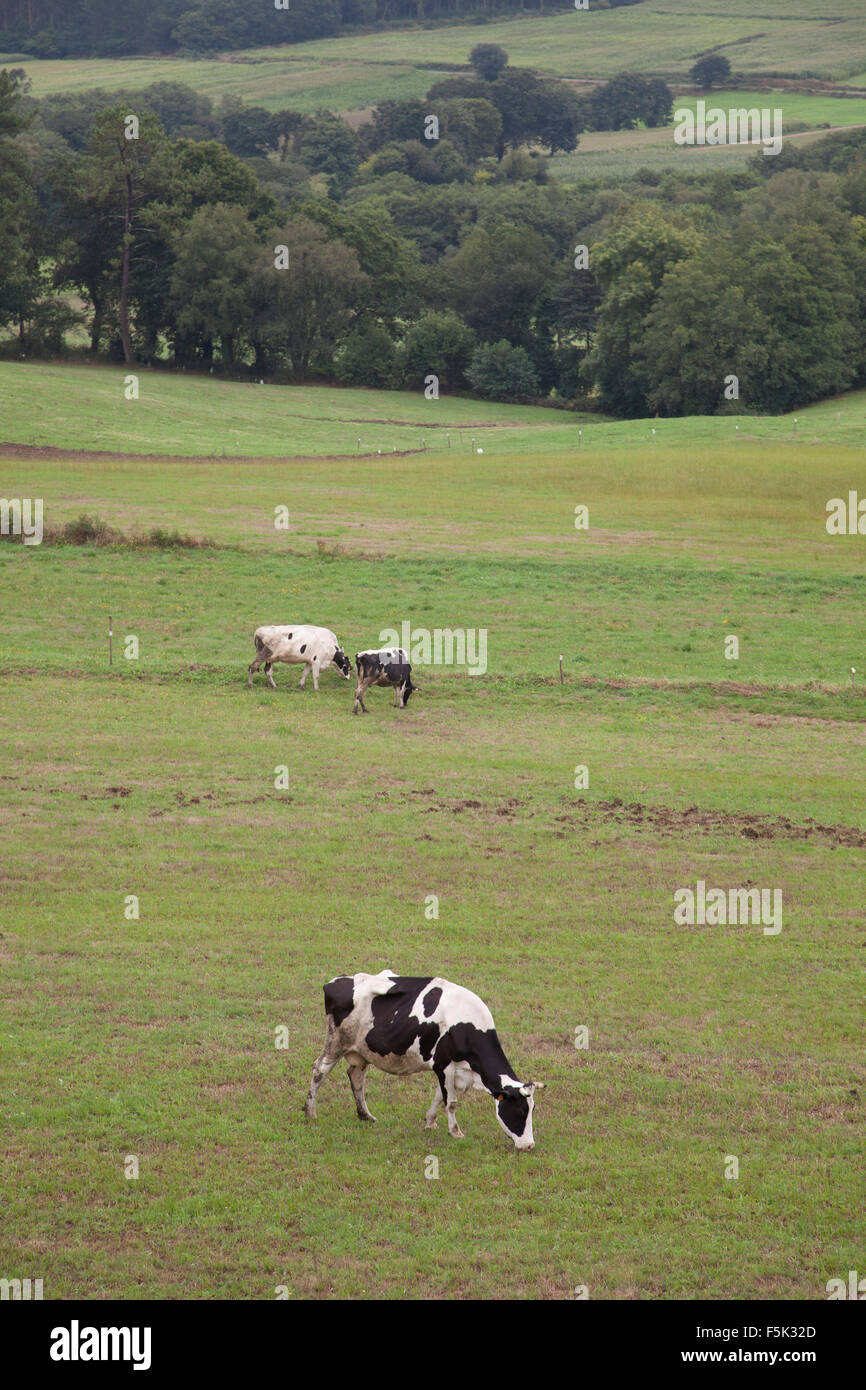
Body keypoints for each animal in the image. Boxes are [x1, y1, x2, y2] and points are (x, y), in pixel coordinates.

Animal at [303, 970, 544, 1150]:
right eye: (520, 1111)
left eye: (532, 1110)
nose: (529, 1145)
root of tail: (338, 980)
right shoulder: (444, 1065)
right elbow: (451, 1101)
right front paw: (455, 1131)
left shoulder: (450, 1070)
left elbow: (439, 1096)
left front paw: (430, 1122)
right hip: (336, 1042)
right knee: (319, 1070)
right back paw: (311, 1113)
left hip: (361, 1053)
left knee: (355, 1078)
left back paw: (366, 1116)